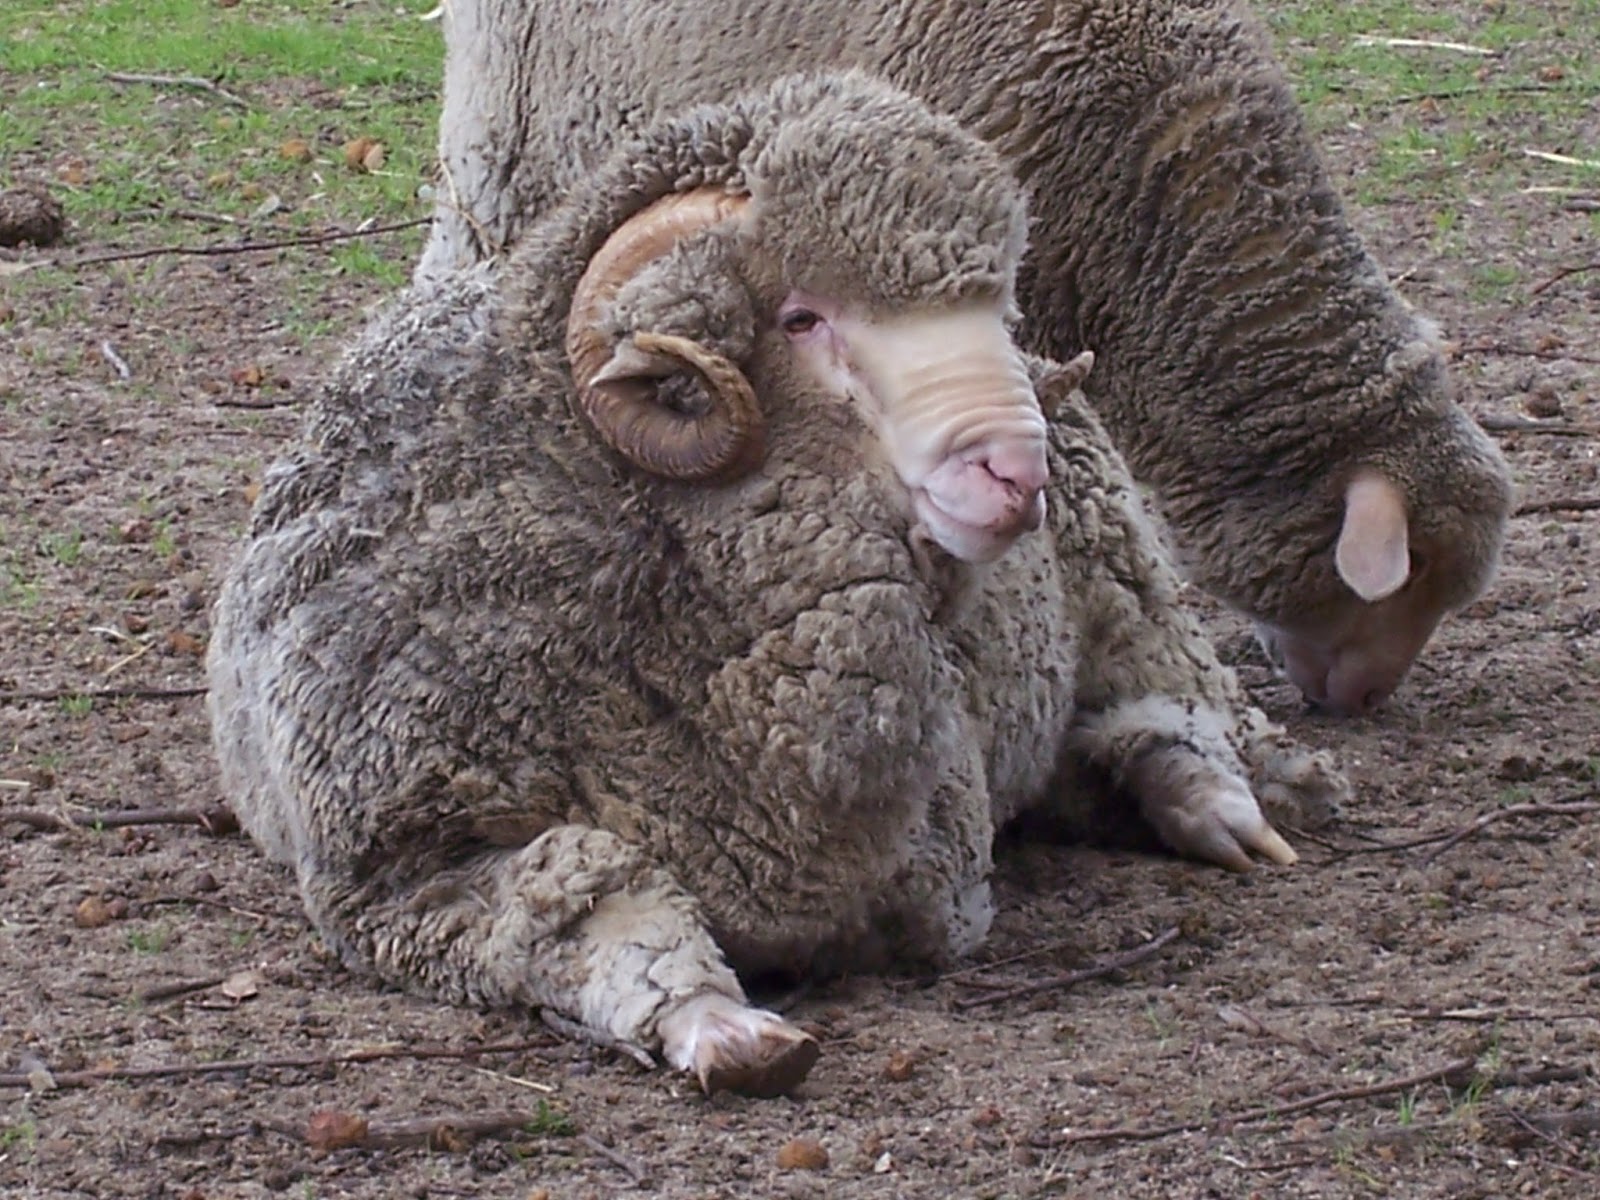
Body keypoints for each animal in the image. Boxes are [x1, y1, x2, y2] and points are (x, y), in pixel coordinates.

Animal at [207, 73, 1350, 1098]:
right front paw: (711, 1017)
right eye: (802, 320)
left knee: (1173, 702)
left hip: (1124, 575)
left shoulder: (935, 856)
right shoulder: (395, 864)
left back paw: (1223, 798)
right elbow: (585, 892)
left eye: (998, 303)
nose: (1014, 473)